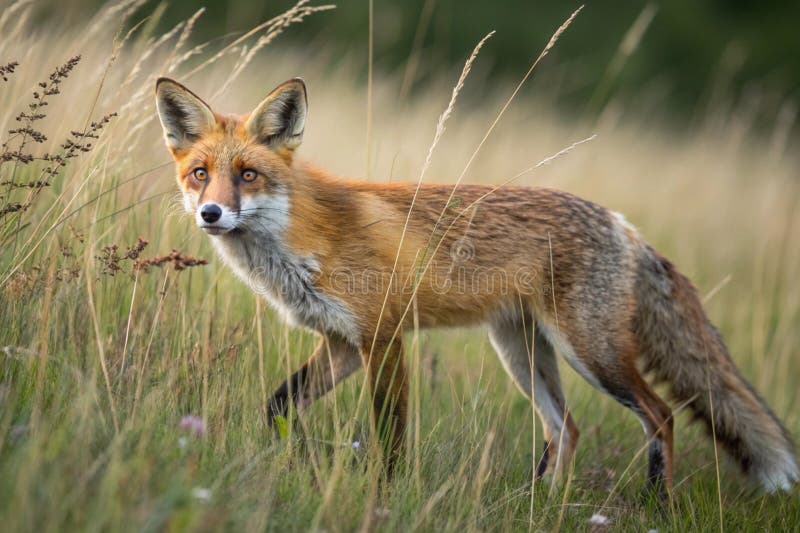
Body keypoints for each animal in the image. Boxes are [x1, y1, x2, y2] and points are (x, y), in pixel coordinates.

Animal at [155, 76, 798, 497]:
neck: (302, 240)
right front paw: (291, 458)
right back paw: (542, 505)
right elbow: (277, 406)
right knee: (566, 428)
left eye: (248, 175)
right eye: (200, 175)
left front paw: (385, 494)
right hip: (522, 351)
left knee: (659, 417)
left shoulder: (383, 337)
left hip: (592, 354)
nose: (211, 213)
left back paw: (654, 506)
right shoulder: (340, 342)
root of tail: (624, 225)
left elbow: (389, 434)